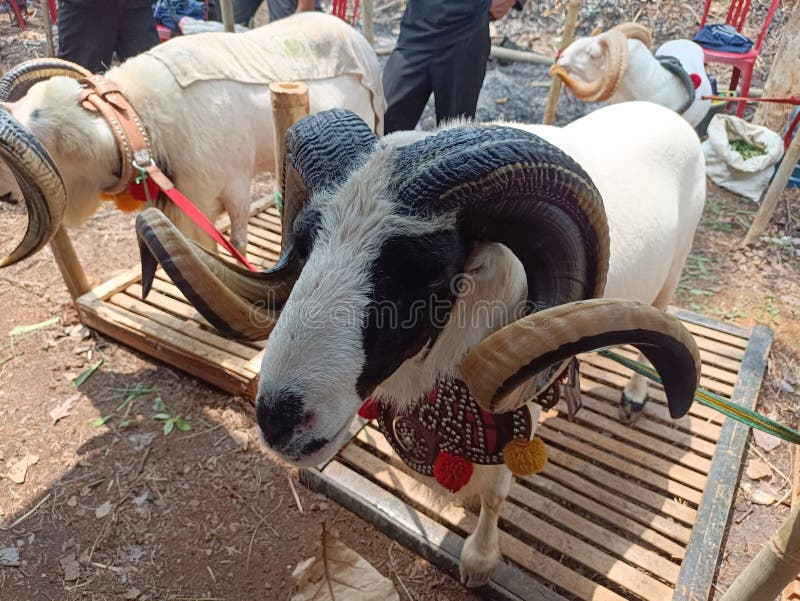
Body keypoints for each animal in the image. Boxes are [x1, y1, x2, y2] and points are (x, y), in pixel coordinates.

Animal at [134, 101, 705, 586]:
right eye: (304, 244)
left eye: (426, 274)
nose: (278, 419)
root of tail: (666, 111)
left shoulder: (524, 400)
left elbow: (497, 490)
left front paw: (479, 559)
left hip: (673, 273)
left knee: (664, 310)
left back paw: (635, 396)